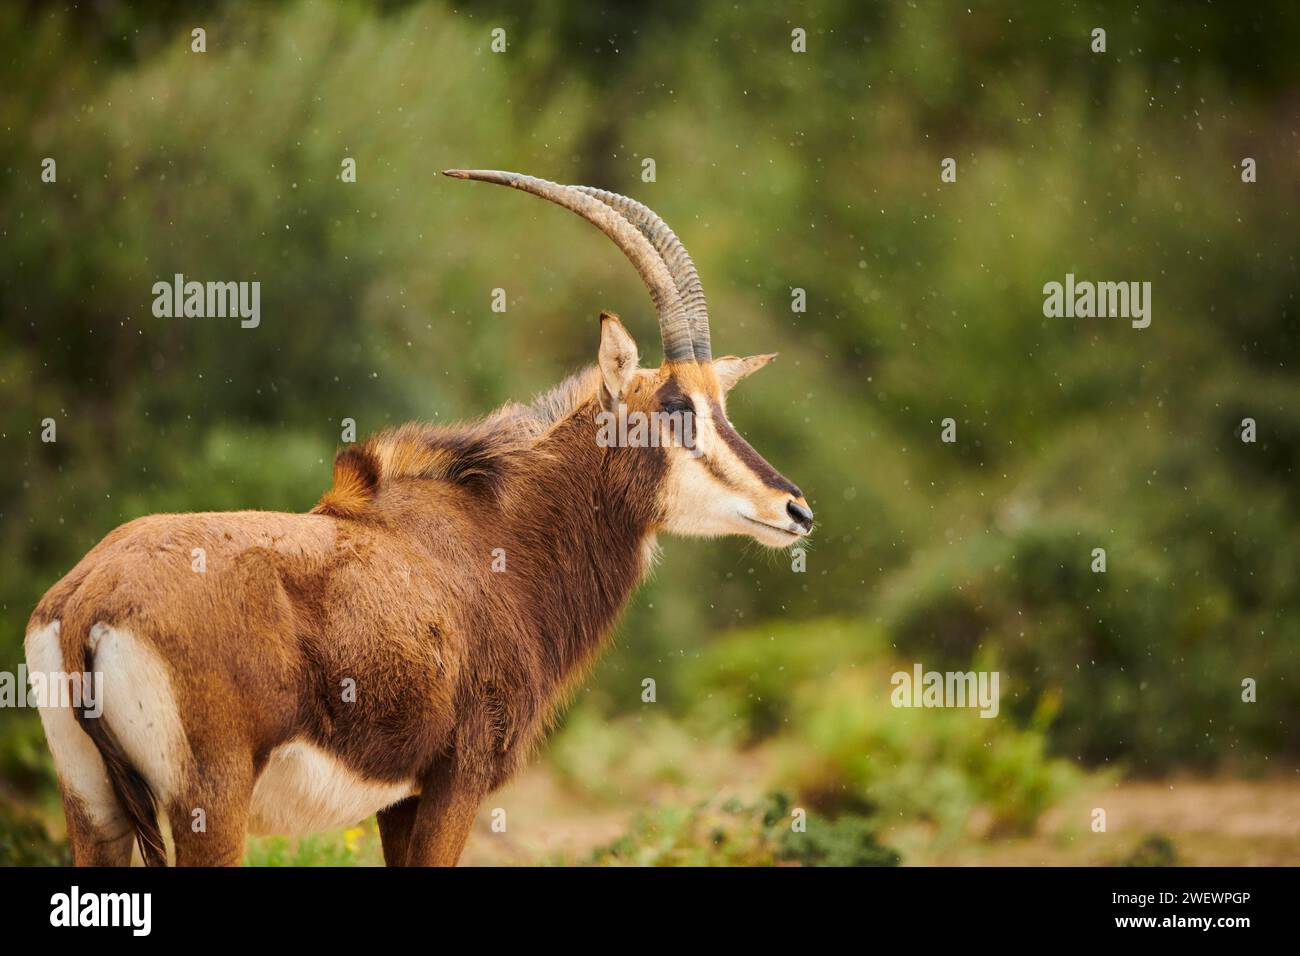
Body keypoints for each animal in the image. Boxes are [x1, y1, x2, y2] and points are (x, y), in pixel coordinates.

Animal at [24, 170, 814, 867]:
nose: (795, 509)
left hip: (91, 804)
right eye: (676, 407)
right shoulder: (454, 782)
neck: (497, 535)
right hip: (208, 806)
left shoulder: (398, 800)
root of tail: (86, 601)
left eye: (723, 403)